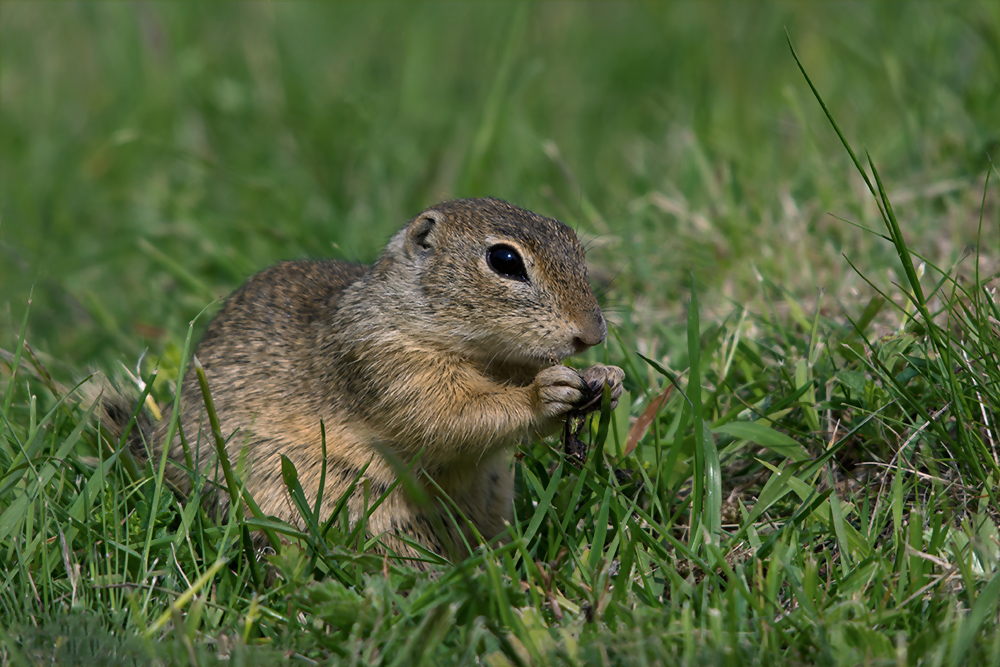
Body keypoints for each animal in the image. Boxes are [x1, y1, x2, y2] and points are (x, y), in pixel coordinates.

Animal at [111, 198, 624, 568]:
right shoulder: (388, 366)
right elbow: (454, 417)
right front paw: (545, 394)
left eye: (575, 244)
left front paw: (607, 379)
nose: (592, 334)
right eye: (504, 260)